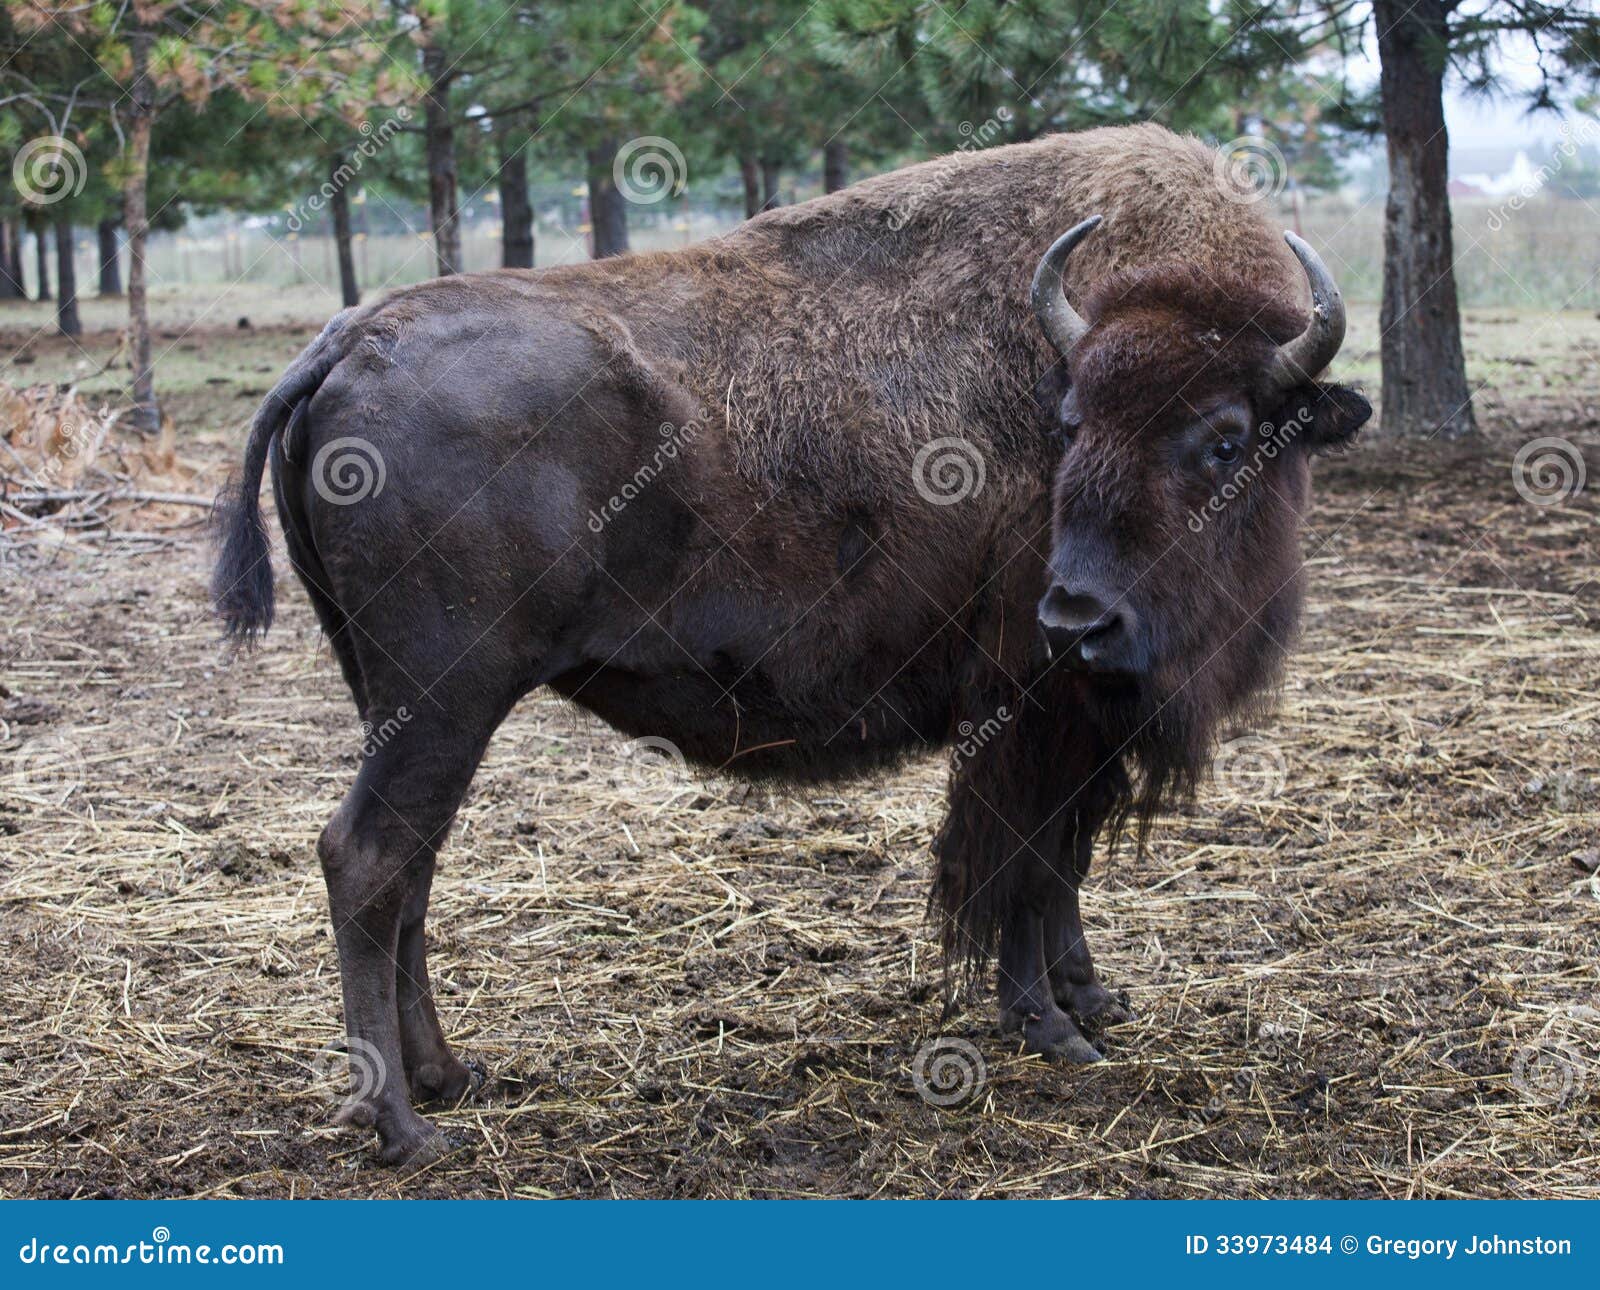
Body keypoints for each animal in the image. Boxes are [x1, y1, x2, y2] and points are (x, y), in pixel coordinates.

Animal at [213, 122, 1369, 1164]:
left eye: (1227, 438)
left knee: (412, 865)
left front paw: (1093, 998)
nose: (1079, 614)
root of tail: (347, 341)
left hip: (407, 705)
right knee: (368, 859)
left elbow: (1066, 864)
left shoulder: (1084, 726)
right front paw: (1049, 1026)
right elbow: (1024, 866)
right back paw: (404, 1129)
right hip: (448, 696)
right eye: (1074, 421)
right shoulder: (1034, 710)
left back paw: (450, 1079)